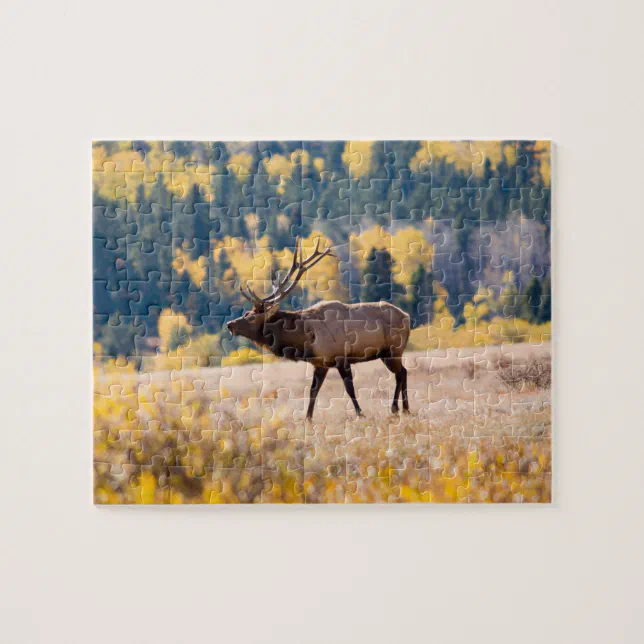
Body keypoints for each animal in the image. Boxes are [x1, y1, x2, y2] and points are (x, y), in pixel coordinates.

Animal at [226, 237, 411, 420]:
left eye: (250, 317)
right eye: (246, 312)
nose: (230, 324)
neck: (305, 341)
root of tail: (407, 317)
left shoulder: (341, 358)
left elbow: (349, 389)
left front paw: (360, 413)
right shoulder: (320, 363)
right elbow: (313, 390)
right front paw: (307, 418)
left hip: (393, 349)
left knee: (400, 373)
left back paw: (395, 408)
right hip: (387, 353)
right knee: (404, 371)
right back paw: (406, 409)